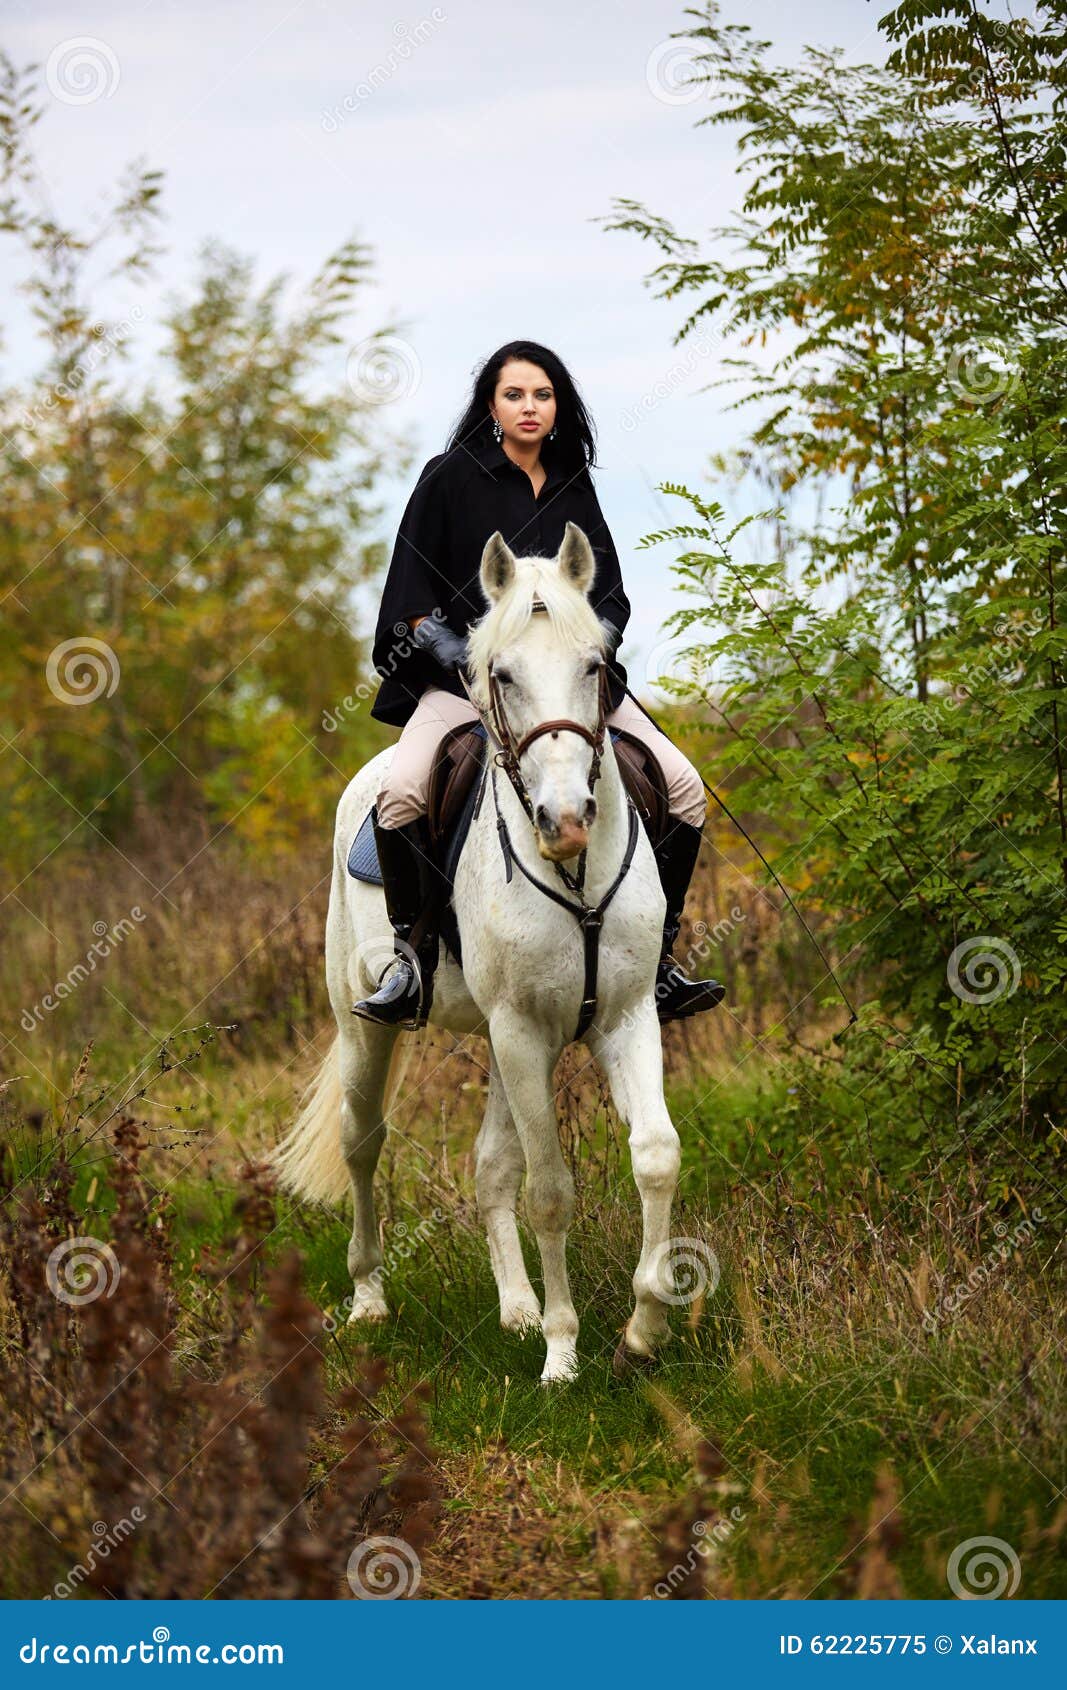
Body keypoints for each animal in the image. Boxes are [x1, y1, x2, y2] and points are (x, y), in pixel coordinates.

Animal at [272, 522, 683, 1384]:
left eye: (592, 665)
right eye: (501, 673)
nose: (566, 820)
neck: (573, 874)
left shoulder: (622, 1018)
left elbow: (655, 1155)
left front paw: (643, 1327)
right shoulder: (523, 1033)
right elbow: (551, 1191)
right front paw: (563, 1355)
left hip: (500, 1040)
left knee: (492, 1165)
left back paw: (516, 1309)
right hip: (367, 1029)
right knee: (362, 1143)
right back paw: (369, 1298)